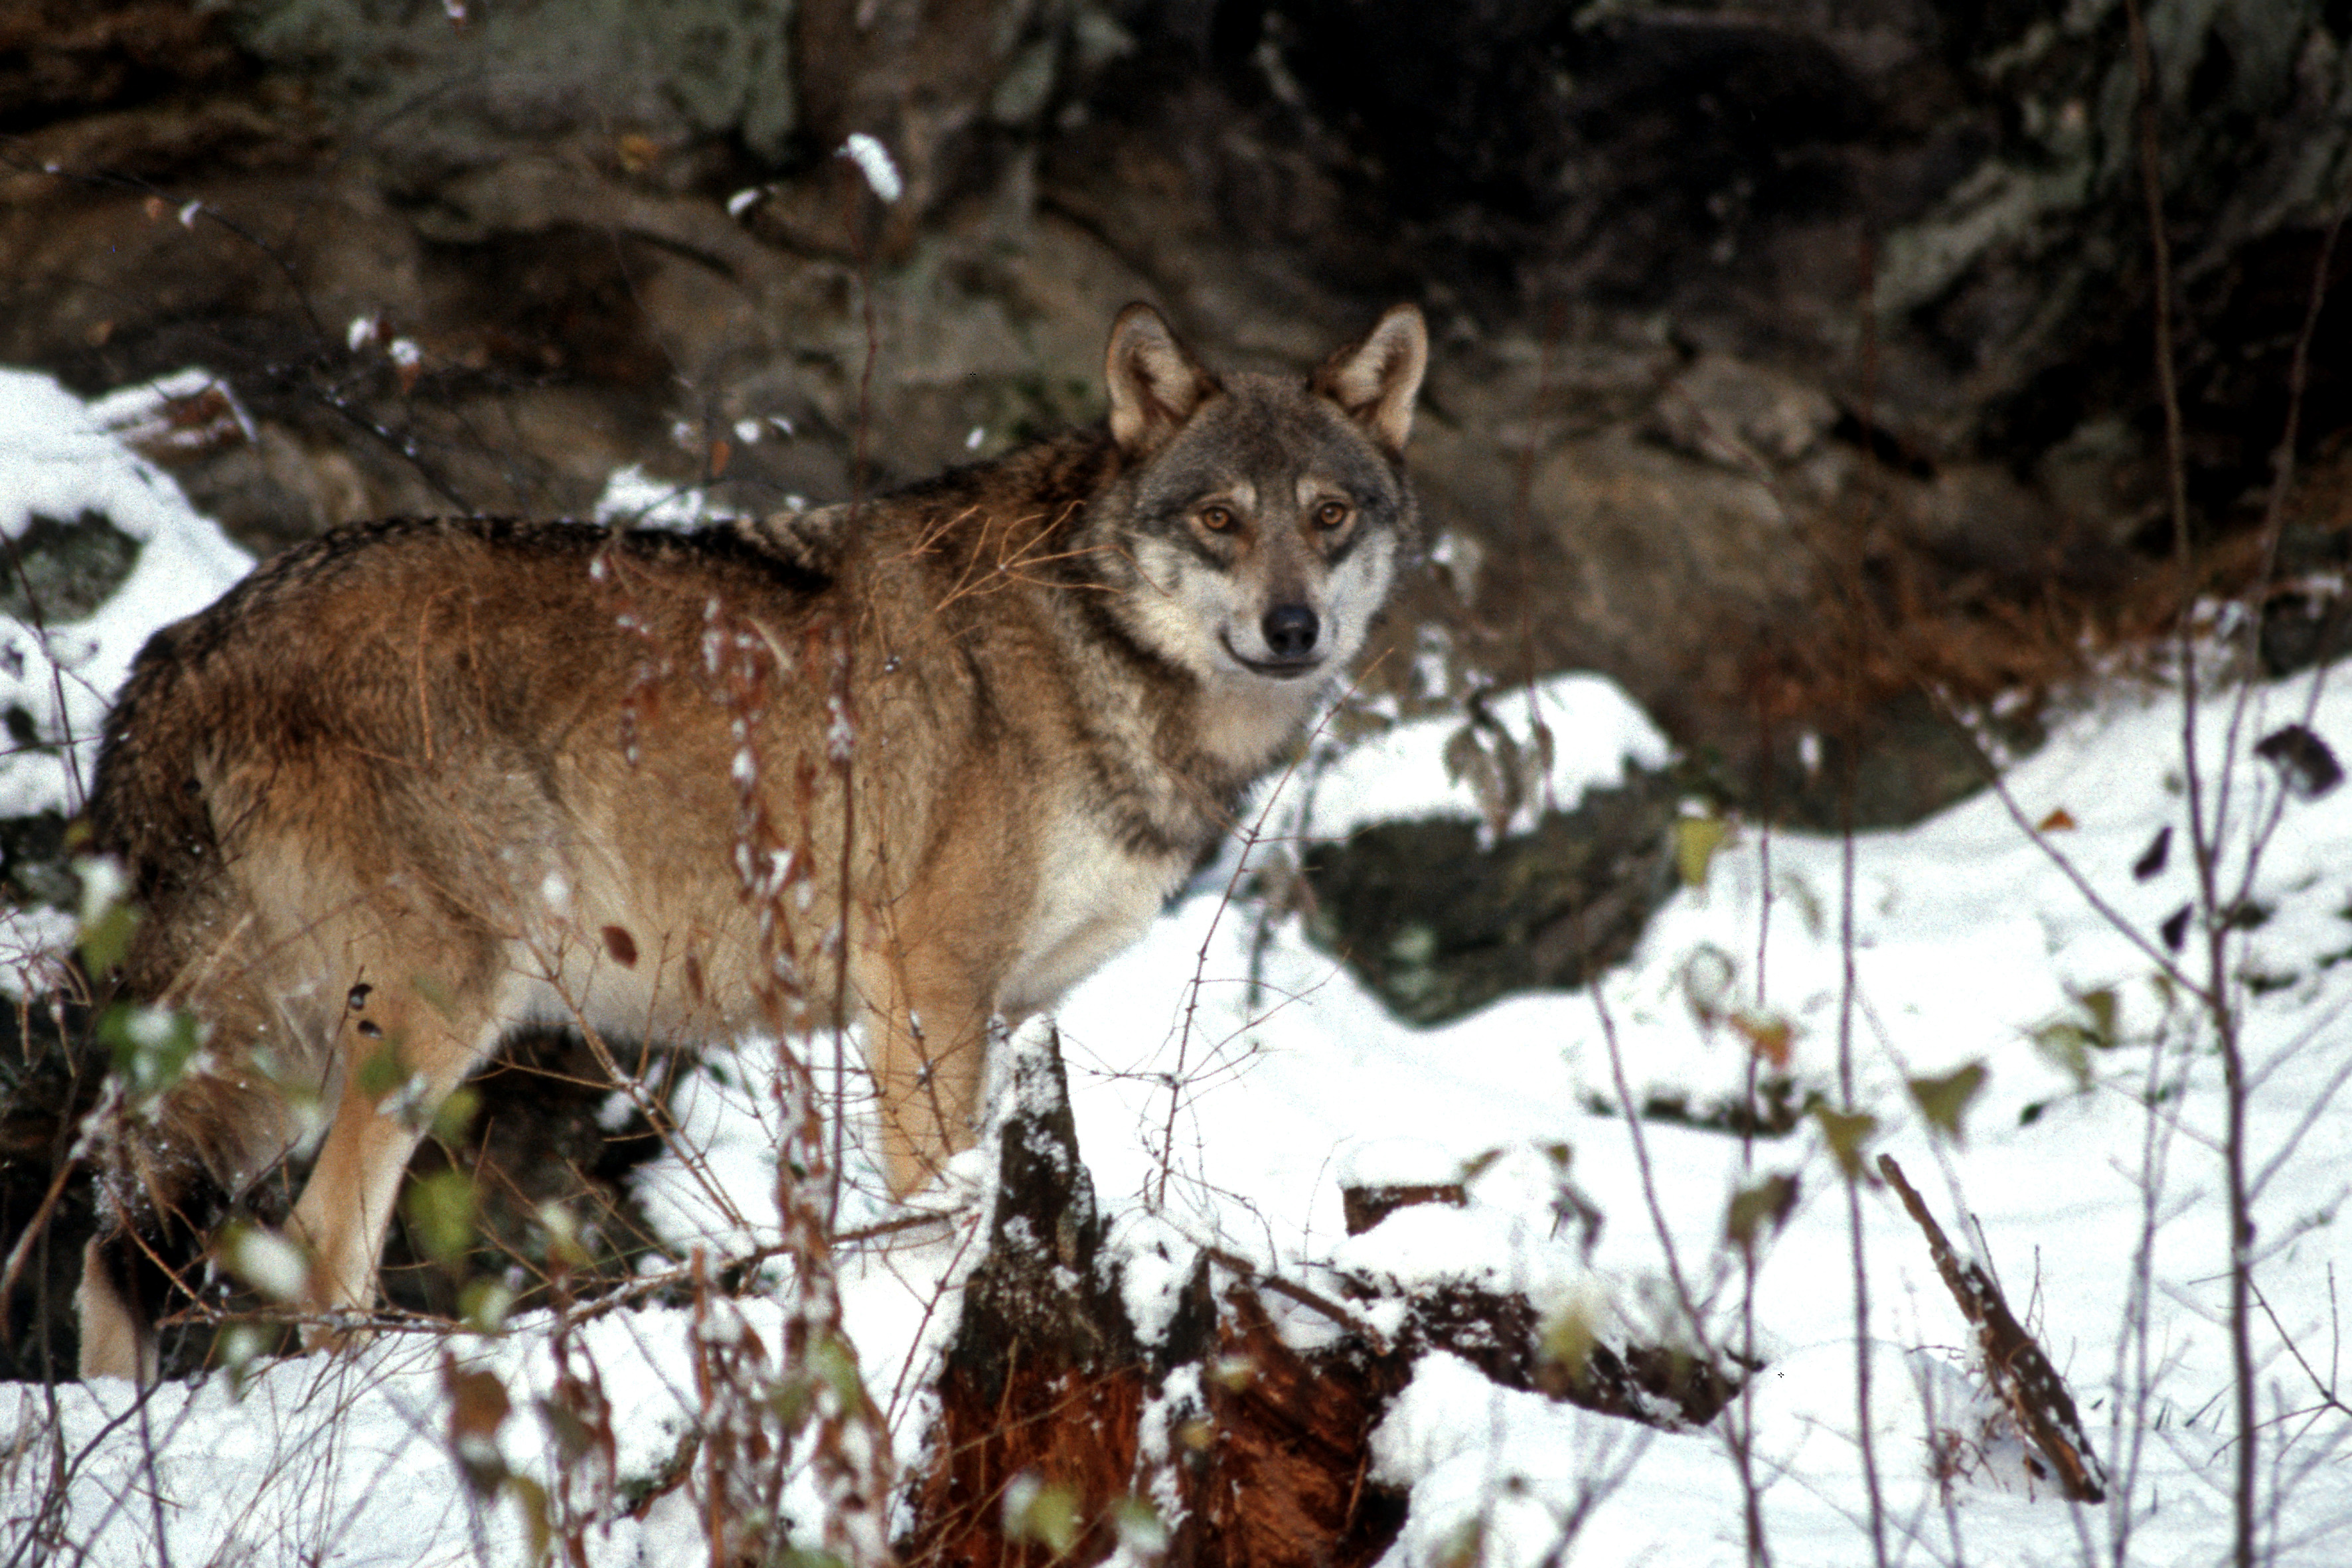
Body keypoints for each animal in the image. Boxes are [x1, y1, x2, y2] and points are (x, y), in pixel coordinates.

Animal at [71, 301, 1428, 1380]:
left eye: (1327, 515)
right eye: (1218, 519)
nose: (1292, 627)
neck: (1088, 641)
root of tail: (186, 642)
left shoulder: (995, 1008)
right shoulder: (925, 989)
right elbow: (927, 1203)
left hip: (277, 1048)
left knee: (112, 1244)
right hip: (429, 1016)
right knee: (310, 1244)